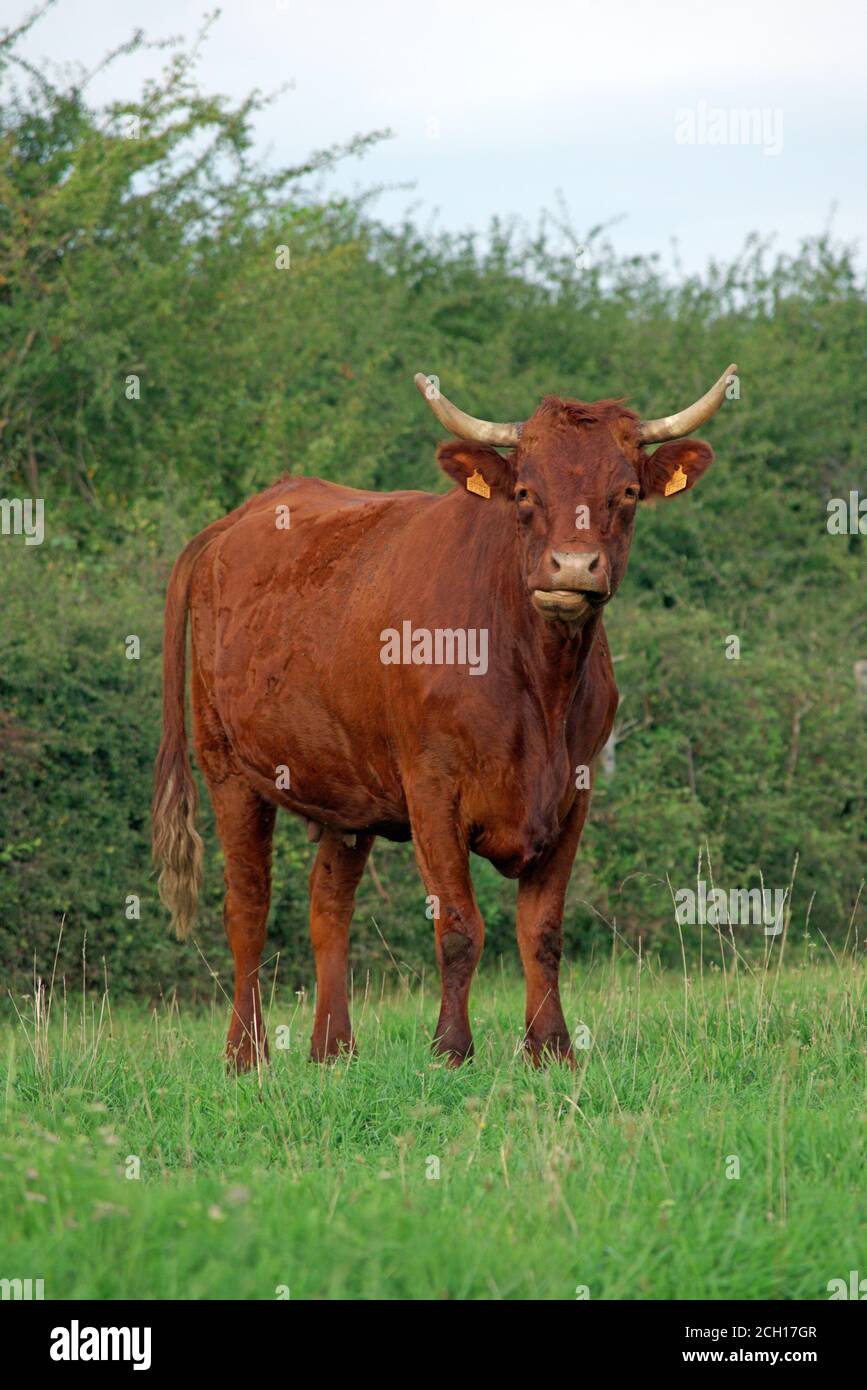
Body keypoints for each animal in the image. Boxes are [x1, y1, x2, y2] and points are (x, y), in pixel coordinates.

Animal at [152, 364, 737, 1070]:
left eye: (625, 491)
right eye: (524, 492)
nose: (572, 567)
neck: (538, 686)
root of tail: (235, 522)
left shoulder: (575, 789)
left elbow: (542, 930)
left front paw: (551, 1050)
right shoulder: (432, 787)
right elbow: (459, 925)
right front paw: (452, 1049)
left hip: (347, 791)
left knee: (328, 907)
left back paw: (333, 1050)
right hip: (227, 766)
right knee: (247, 908)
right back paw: (247, 1054)